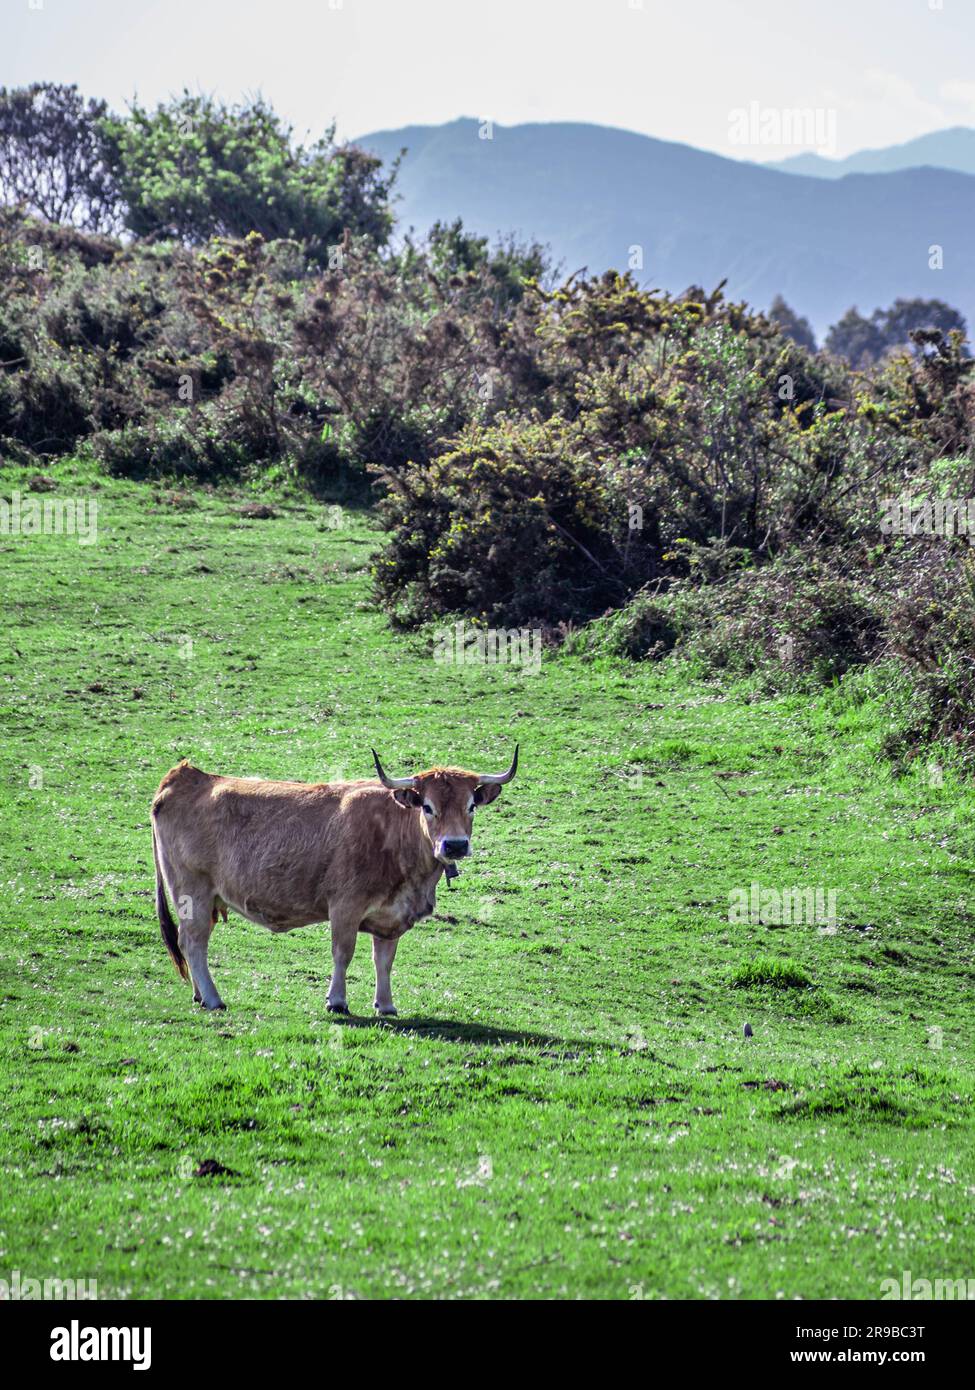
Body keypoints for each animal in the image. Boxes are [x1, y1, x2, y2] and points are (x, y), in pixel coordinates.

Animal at [151, 746, 518, 1015]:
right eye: (427, 807)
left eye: (471, 805)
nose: (455, 844)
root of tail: (187, 776)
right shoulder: (345, 906)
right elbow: (343, 952)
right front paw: (337, 1001)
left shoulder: (390, 916)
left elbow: (384, 961)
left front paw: (386, 1005)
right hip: (192, 891)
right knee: (193, 942)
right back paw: (213, 999)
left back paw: (200, 996)